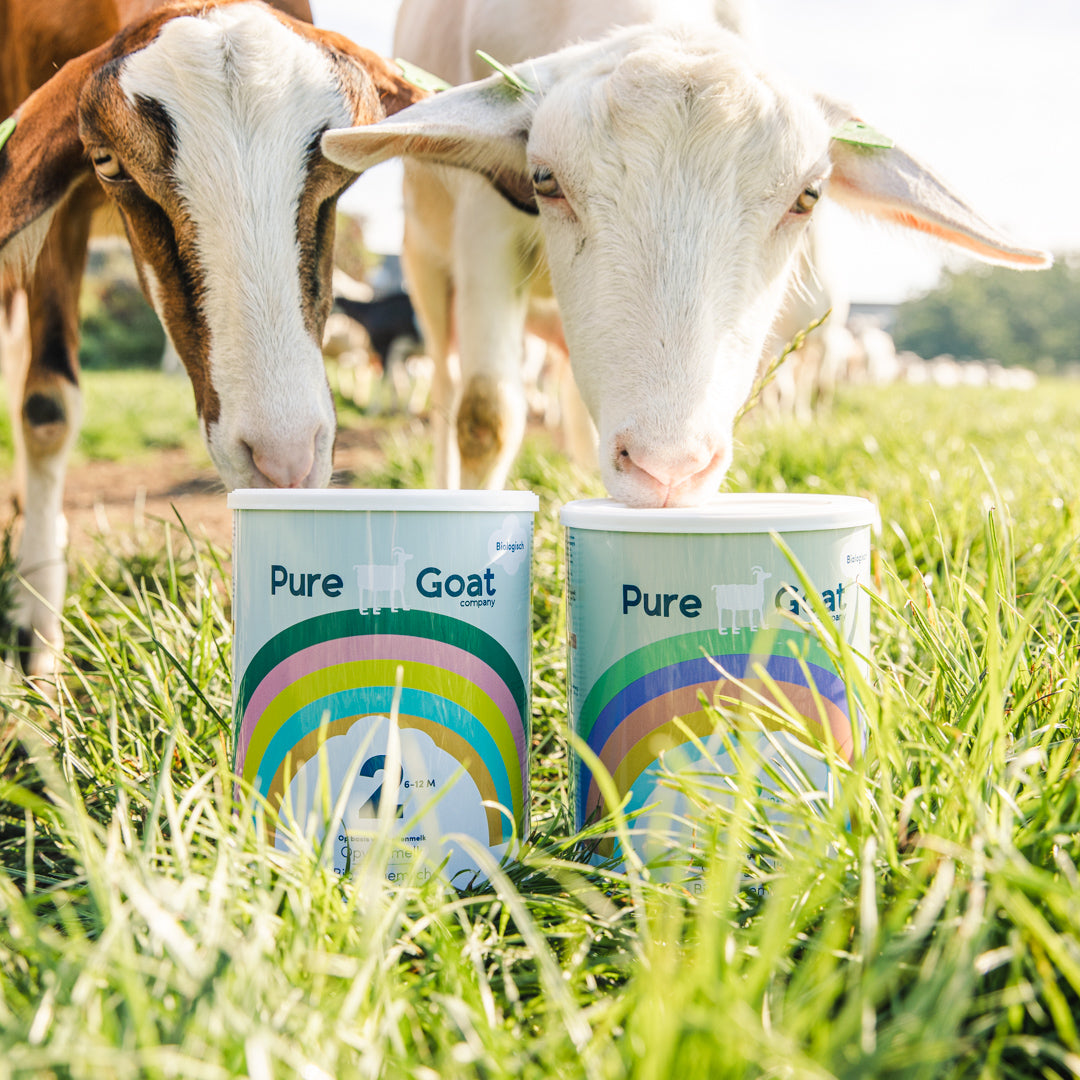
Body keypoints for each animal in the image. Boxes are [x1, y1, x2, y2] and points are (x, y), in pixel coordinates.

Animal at [0, 0, 426, 675]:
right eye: (108, 162)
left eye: (343, 171)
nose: (284, 462)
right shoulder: (56, 205)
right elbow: (46, 406)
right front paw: (35, 628)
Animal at [321, 0, 1050, 509]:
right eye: (544, 180)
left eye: (809, 196)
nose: (666, 470)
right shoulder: (486, 220)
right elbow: (487, 416)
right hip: (426, 260)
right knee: (448, 394)